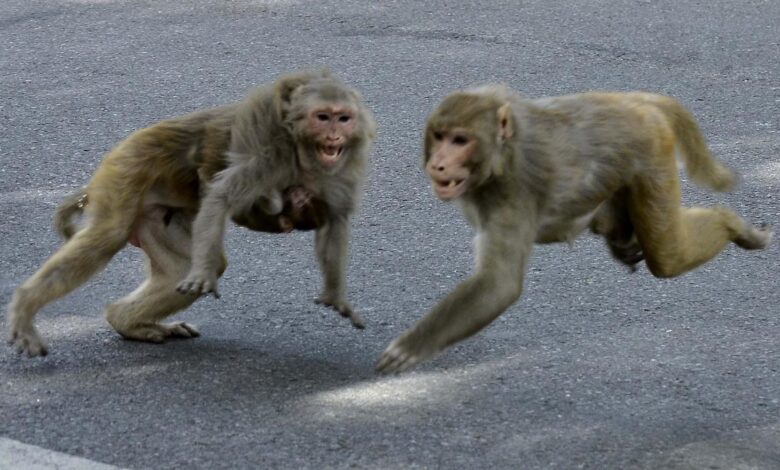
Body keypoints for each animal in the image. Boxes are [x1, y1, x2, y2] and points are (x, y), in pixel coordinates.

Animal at [7, 70, 375, 357]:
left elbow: (335, 220)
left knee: (180, 266)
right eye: (323, 117)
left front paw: (336, 295)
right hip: (127, 167)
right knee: (107, 236)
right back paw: (25, 304)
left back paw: (124, 321)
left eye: (343, 118)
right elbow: (222, 195)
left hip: (154, 212)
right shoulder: (267, 154)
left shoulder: (342, 168)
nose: (334, 134)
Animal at [376, 85, 772, 373]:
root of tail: (633, 100)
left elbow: (499, 284)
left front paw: (414, 344)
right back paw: (624, 239)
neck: (500, 156)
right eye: (440, 136)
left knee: (668, 257)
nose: (439, 163)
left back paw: (731, 222)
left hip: (652, 153)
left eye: (460, 141)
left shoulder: (513, 192)